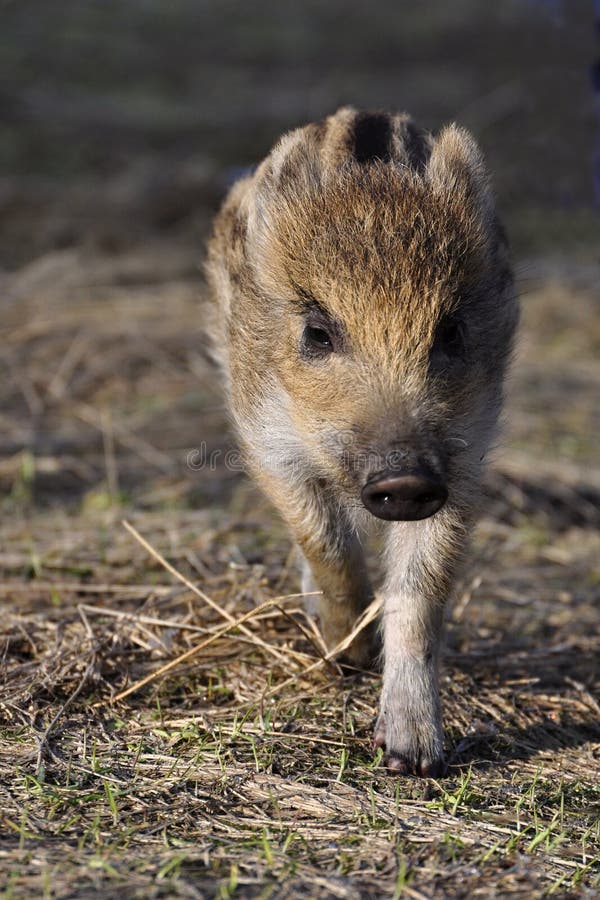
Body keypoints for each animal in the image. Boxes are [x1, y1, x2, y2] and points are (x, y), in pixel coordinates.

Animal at [205, 107, 519, 777]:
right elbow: (325, 541)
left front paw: (412, 759)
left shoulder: (460, 460)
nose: (402, 479)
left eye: (451, 331)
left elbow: (422, 593)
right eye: (317, 332)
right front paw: (347, 655)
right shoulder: (267, 439)